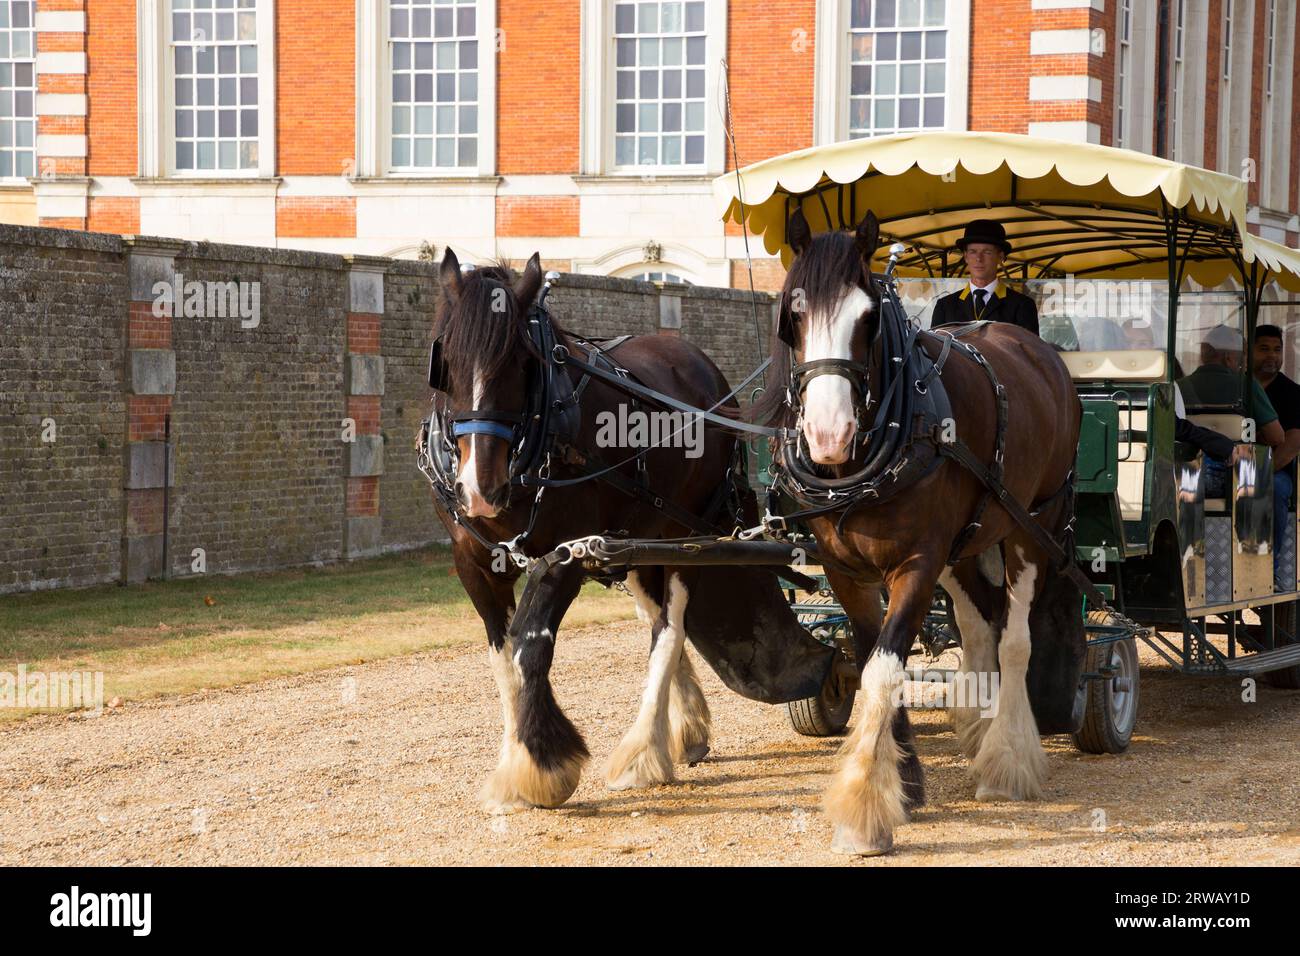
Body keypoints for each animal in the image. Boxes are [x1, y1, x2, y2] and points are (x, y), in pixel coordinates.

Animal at [423, 249, 844, 813]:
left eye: (520, 363)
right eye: (445, 361)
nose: (479, 488)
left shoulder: (565, 555)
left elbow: (530, 646)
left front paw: (540, 769)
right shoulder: (473, 563)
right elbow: (504, 658)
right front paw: (517, 764)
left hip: (688, 534)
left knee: (671, 625)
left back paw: (644, 753)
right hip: (636, 542)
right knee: (655, 616)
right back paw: (683, 730)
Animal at [750, 208, 1085, 855]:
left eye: (867, 318)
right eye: (793, 314)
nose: (829, 435)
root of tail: (1042, 353)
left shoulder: (917, 563)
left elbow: (884, 665)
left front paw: (863, 806)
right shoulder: (845, 569)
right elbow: (871, 654)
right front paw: (903, 780)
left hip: (1032, 527)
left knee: (1015, 638)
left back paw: (1006, 760)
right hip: (968, 543)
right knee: (981, 628)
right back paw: (978, 728)